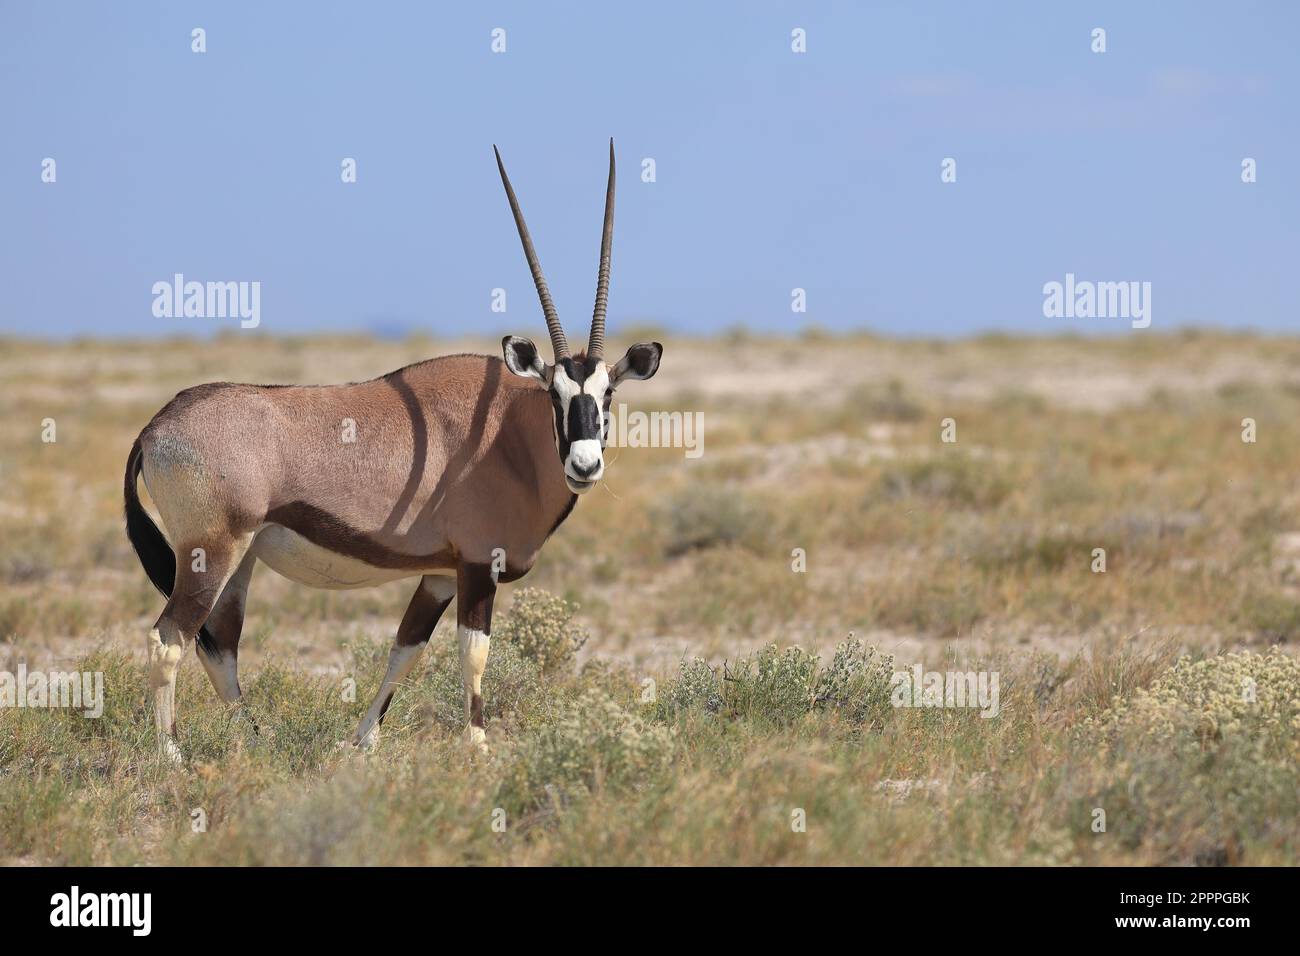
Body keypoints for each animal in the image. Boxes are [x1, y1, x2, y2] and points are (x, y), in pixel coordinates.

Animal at [123, 142, 661, 760]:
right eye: (555, 394)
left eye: (608, 393)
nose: (584, 464)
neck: (507, 435)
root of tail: (156, 427)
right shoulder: (479, 566)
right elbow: (473, 653)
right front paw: (478, 749)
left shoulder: (440, 575)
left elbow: (405, 650)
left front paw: (360, 741)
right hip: (210, 552)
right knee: (169, 638)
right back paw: (172, 757)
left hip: (240, 559)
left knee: (218, 646)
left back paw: (256, 741)